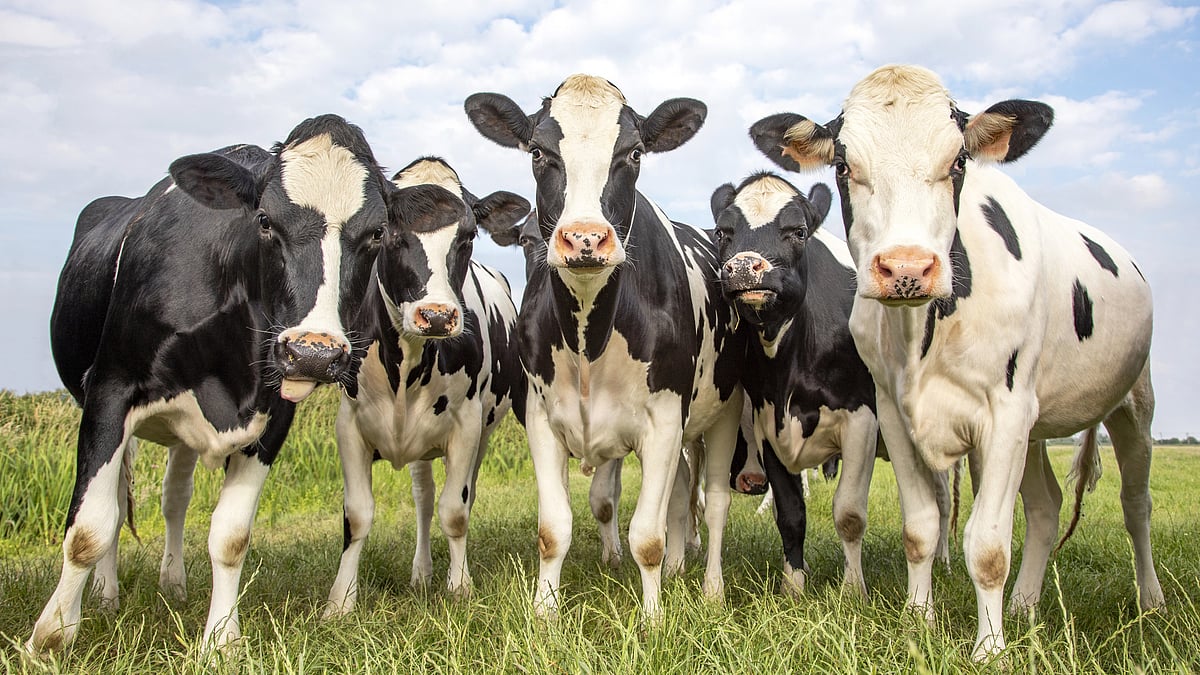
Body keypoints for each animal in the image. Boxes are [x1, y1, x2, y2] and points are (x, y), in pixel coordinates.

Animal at [30, 115, 392, 655]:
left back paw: (174, 584)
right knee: (117, 501)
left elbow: (231, 535)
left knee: (173, 498)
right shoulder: (109, 390)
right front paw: (51, 636)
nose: (314, 352)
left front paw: (221, 639)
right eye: (264, 220)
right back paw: (106, 596)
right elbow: (89, 527)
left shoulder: (272, 414)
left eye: (377, 233)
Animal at [323, 157, 529, 616]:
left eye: (468, 236)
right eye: (385, 233)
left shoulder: (467, 424)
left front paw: (460, 586)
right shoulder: (349, 424)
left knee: (455, 496)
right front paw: (340, 601)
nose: (436, 316)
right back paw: (421, 572)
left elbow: (455, 510)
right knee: (422, 499)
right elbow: (357, 514)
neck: (406, 368)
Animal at [464, 74, 746, 620]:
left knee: (715, 501)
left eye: (633, 153)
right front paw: (545, 614)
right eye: (538, 151)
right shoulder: (540, 418)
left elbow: (648, 537)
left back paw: (711, 587)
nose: (585, 239)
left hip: (724, 409)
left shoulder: (665, 421)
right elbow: (554, 529)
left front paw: (654, 620)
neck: (588, 339)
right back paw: (679, 568)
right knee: (682, 493)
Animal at [711, 173, 878, 598]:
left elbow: (849, 512)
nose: (744, 267)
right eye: (722, 233)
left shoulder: (862, 418)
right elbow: (790, 514)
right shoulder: (768, 424)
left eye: (798, 232)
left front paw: (854, 591)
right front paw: (794, 587)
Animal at [750, 64, 1163, 660]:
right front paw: (917, 619)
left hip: (1133, 405)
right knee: (1046, 508)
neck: (921, 334)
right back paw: (1025, 604)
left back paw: (1149, 599)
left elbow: (988, 546)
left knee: (1136, 503)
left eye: (959, 162)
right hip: (1037, 427)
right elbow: (920, 527)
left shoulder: (1005, 413)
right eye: (845, 165)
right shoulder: (893, 413)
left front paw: (989, 648)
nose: (906, 268)